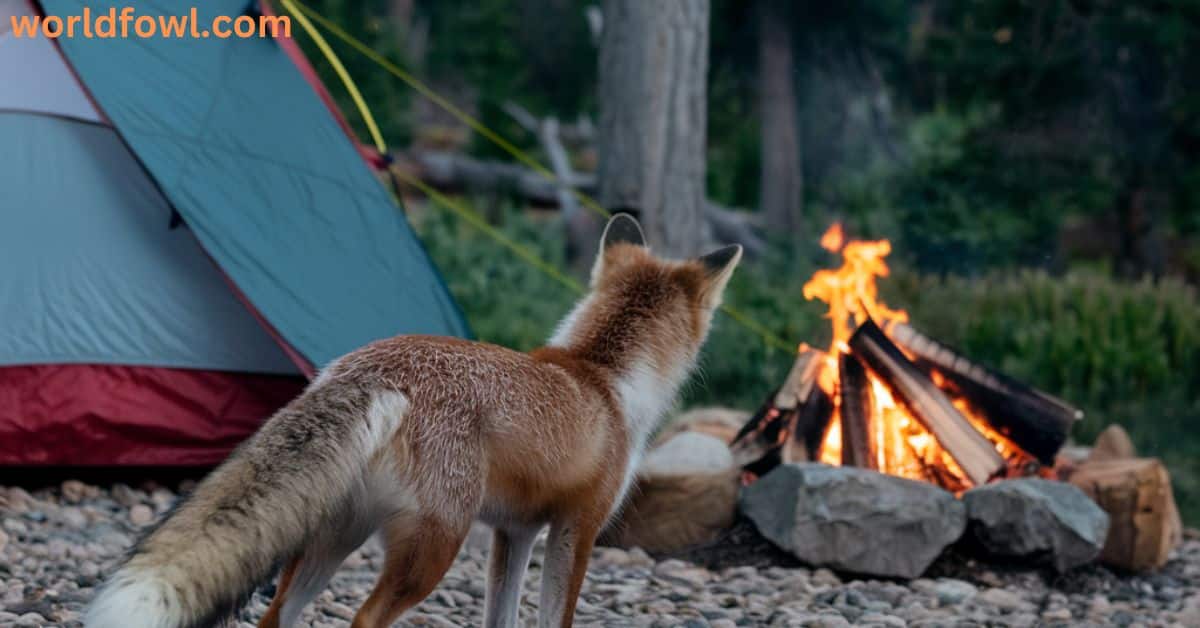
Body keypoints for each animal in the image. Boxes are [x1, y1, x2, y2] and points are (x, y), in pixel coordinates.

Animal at [85, 213, 742, 628]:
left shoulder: (515, 532)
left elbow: (501, 621)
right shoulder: (575, 530)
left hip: (336, 536)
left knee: (274, 619)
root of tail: (372, 367)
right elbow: (556, 619)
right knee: (363, 619)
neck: (602, 376)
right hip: (433, 548)